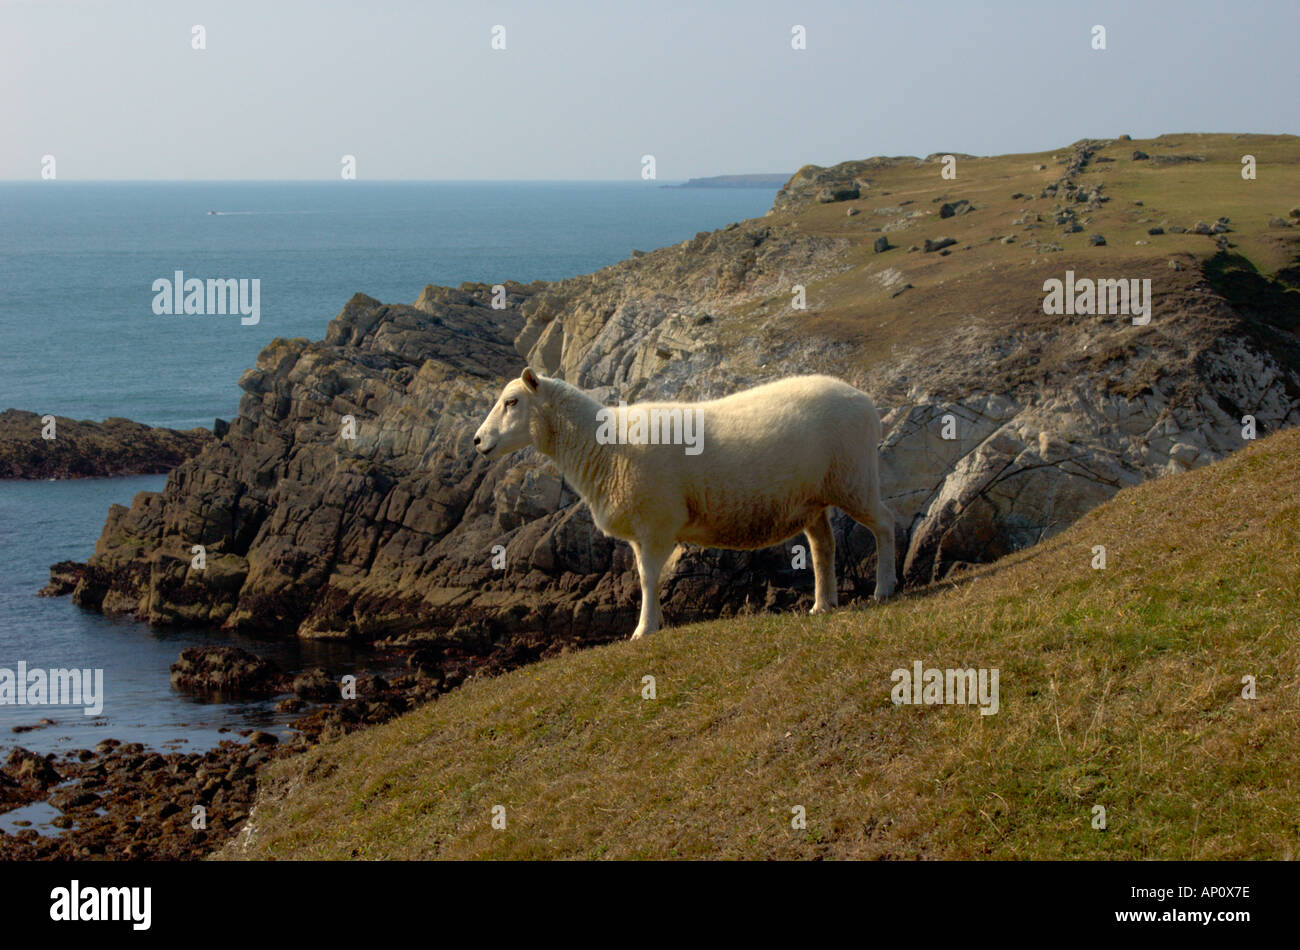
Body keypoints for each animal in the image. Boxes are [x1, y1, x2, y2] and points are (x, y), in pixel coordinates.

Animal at [474, 368, 897, 640]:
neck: (604, 445)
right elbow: (644, 577)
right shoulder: (641, 530)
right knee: (824, 547)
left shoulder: (656, 523)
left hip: (854, 478)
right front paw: (653, 624)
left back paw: (884, 589)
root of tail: (864, 400)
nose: (477, 441)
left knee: (886, 524)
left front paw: (644, 630)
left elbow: (647, 578)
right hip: (813, 499)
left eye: (512, 402)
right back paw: (823, 605)